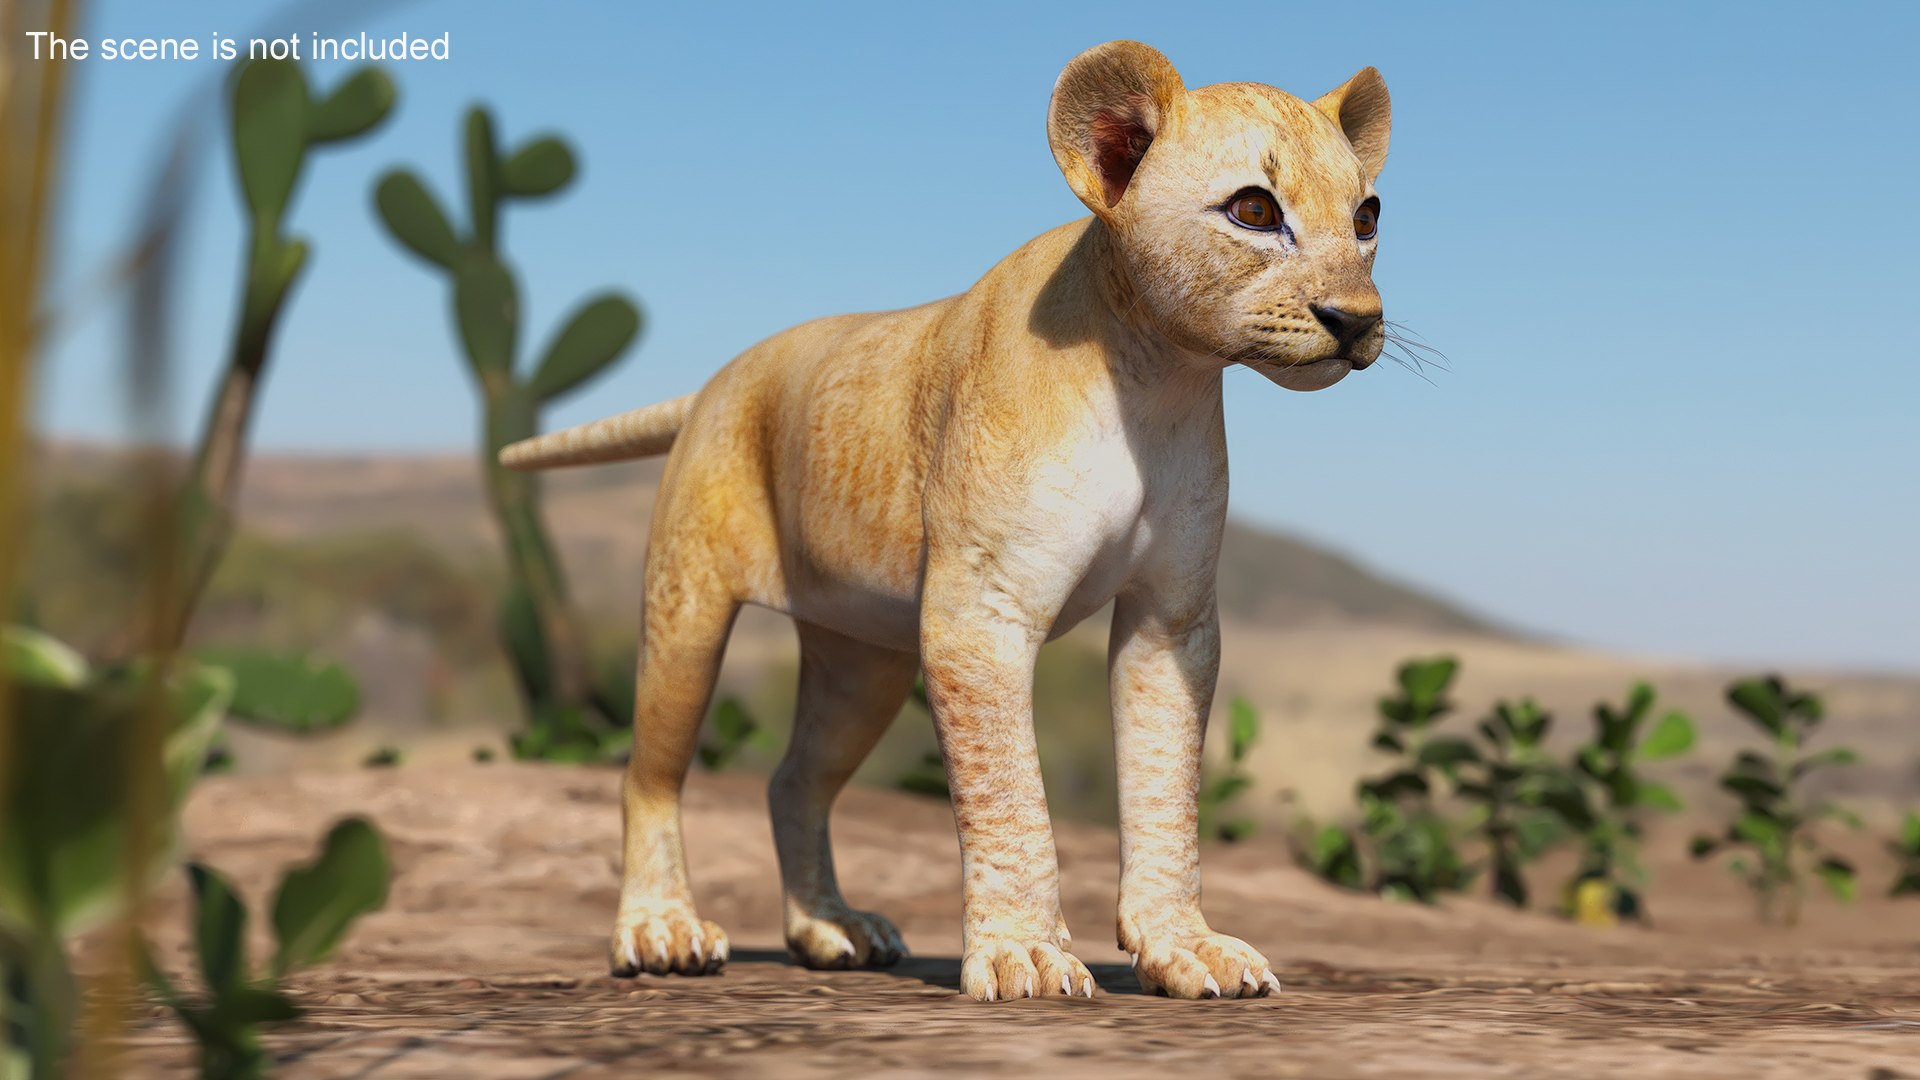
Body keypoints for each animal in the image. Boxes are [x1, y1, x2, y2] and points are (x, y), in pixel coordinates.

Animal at [499, 40, 1391, 1001]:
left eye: (1367, 215)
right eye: (1255, 210)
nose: (1358, 322)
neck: (1157, 377)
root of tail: (713, 382)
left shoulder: (1172, 621)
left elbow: (1165, 787)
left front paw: (1183, 945)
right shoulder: (979, 615)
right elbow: (1008, 792)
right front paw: (1026, 953)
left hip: (861, 663)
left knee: (793, 781)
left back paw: (831, 929)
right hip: (688, 612)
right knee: (648, 776)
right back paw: (661, 929)